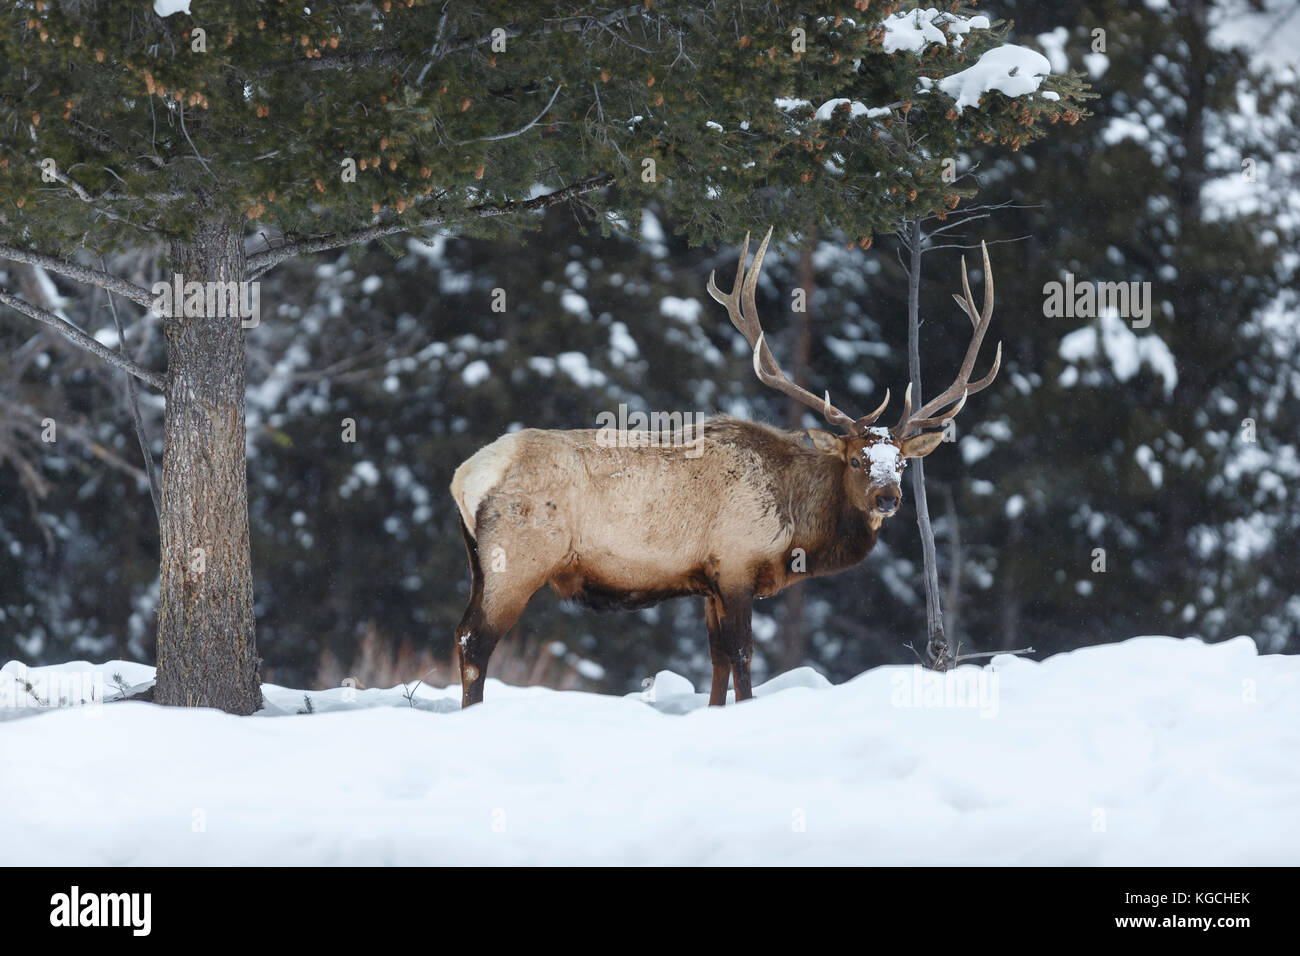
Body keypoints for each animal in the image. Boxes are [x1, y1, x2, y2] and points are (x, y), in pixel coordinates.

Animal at [449, 227, 1000, 708]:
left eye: (902, 462)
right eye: (857, 459)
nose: (888, 498)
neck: (796, 527)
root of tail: (463, 476)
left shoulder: (707, 582)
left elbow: (715, 663)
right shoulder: (736, 563)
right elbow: (742, 656)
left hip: (479, 563)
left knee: (459, 632)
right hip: (518, 558)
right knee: (475, 640)